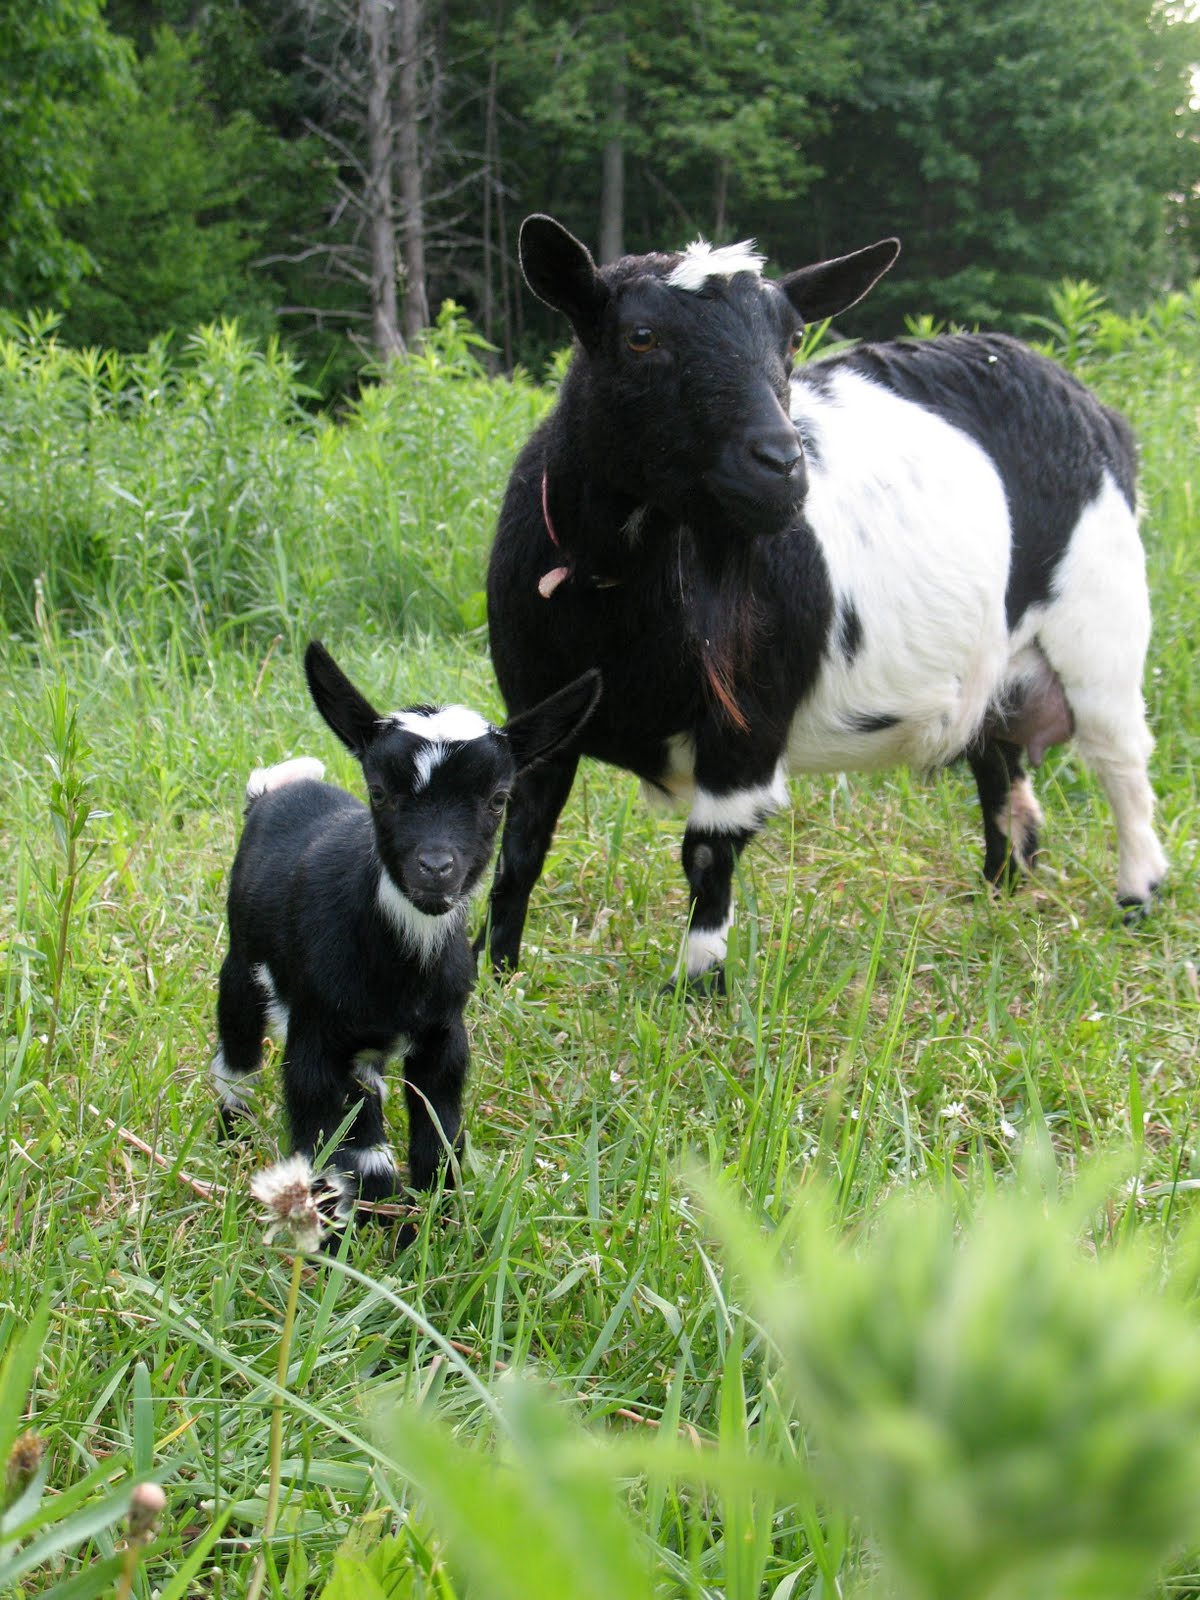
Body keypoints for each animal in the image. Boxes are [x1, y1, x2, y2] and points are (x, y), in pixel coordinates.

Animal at [212, 640, 600, 1197]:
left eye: (498, 799)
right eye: (379, 791)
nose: (436, 868)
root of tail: (274, 791)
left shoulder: (444, 1037)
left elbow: (439, 1138)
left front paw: (439, 1212)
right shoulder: (315, 1040)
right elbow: (347, 1147)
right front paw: (366, 1213)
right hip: (244, 965)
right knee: (237, 1055)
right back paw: (233, 1133)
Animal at [480, 215, 1166, 989]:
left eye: (791, 338)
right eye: (641, 337)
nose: (781, 464)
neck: (614, 587)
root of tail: (1088, 404)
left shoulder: (748, 721)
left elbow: (708, 854)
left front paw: (697, 988)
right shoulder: (537, 710)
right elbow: (521, 850)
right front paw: (495, 976)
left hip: (1100, 625)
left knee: (1121, 763)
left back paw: (1136, 896)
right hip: (995, 665)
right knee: (1003, 773)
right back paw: (999, 896)